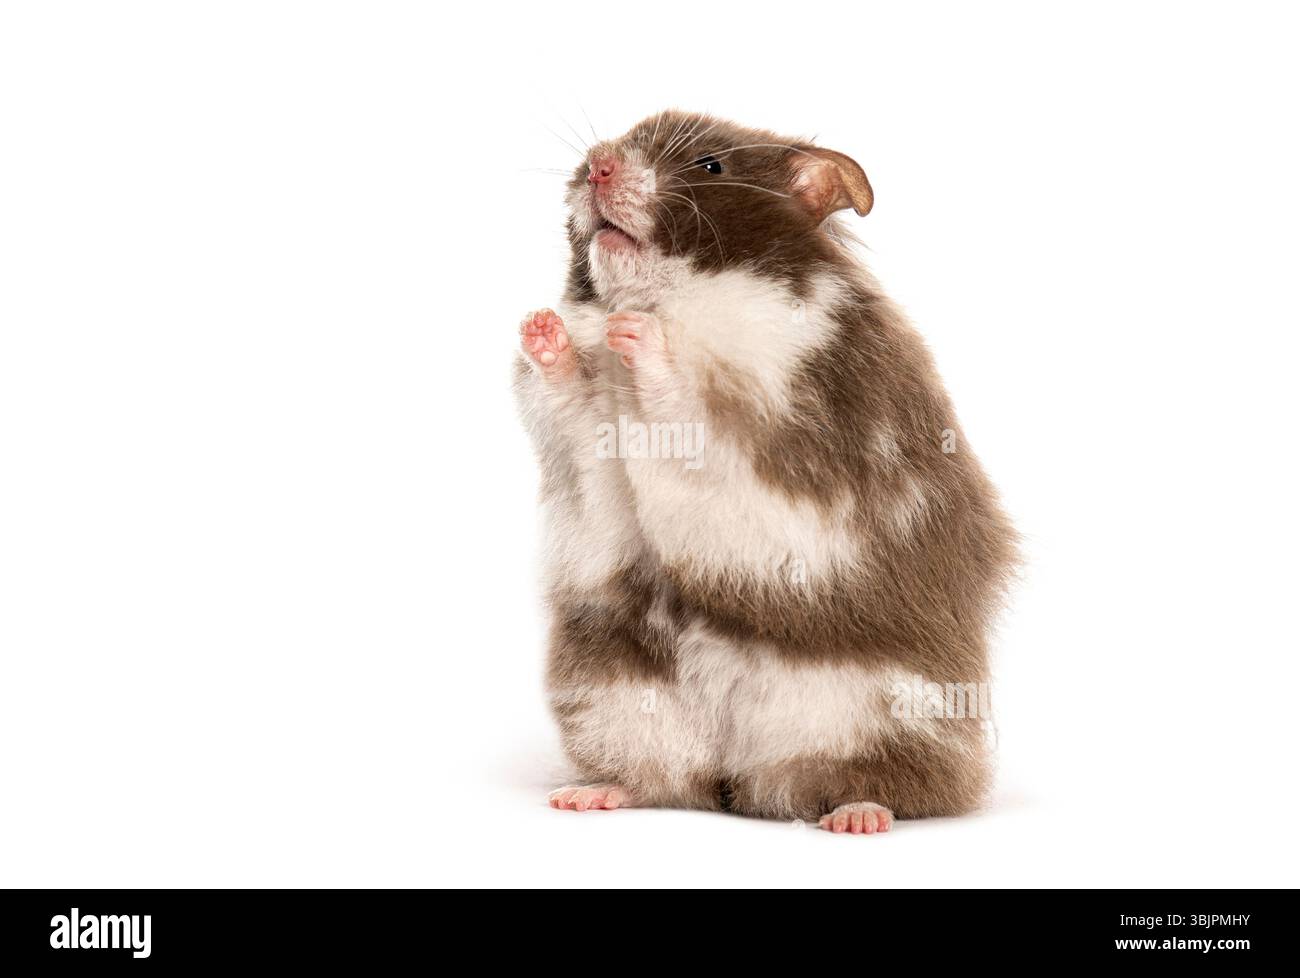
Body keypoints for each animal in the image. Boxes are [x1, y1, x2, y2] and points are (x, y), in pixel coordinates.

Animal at [514, 111, 1016, 833]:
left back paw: (857, 817)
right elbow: (576, 410)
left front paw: (637, 335)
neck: (677, 297)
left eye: (711, 166)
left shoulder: (776, 433)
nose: (597, 166)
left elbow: (680, 411)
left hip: (888, 715)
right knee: (663, 779)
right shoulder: (588, 455)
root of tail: (739, 774)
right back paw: (589, 795)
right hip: (613, 696)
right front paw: (541, 328)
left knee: (891, 786)